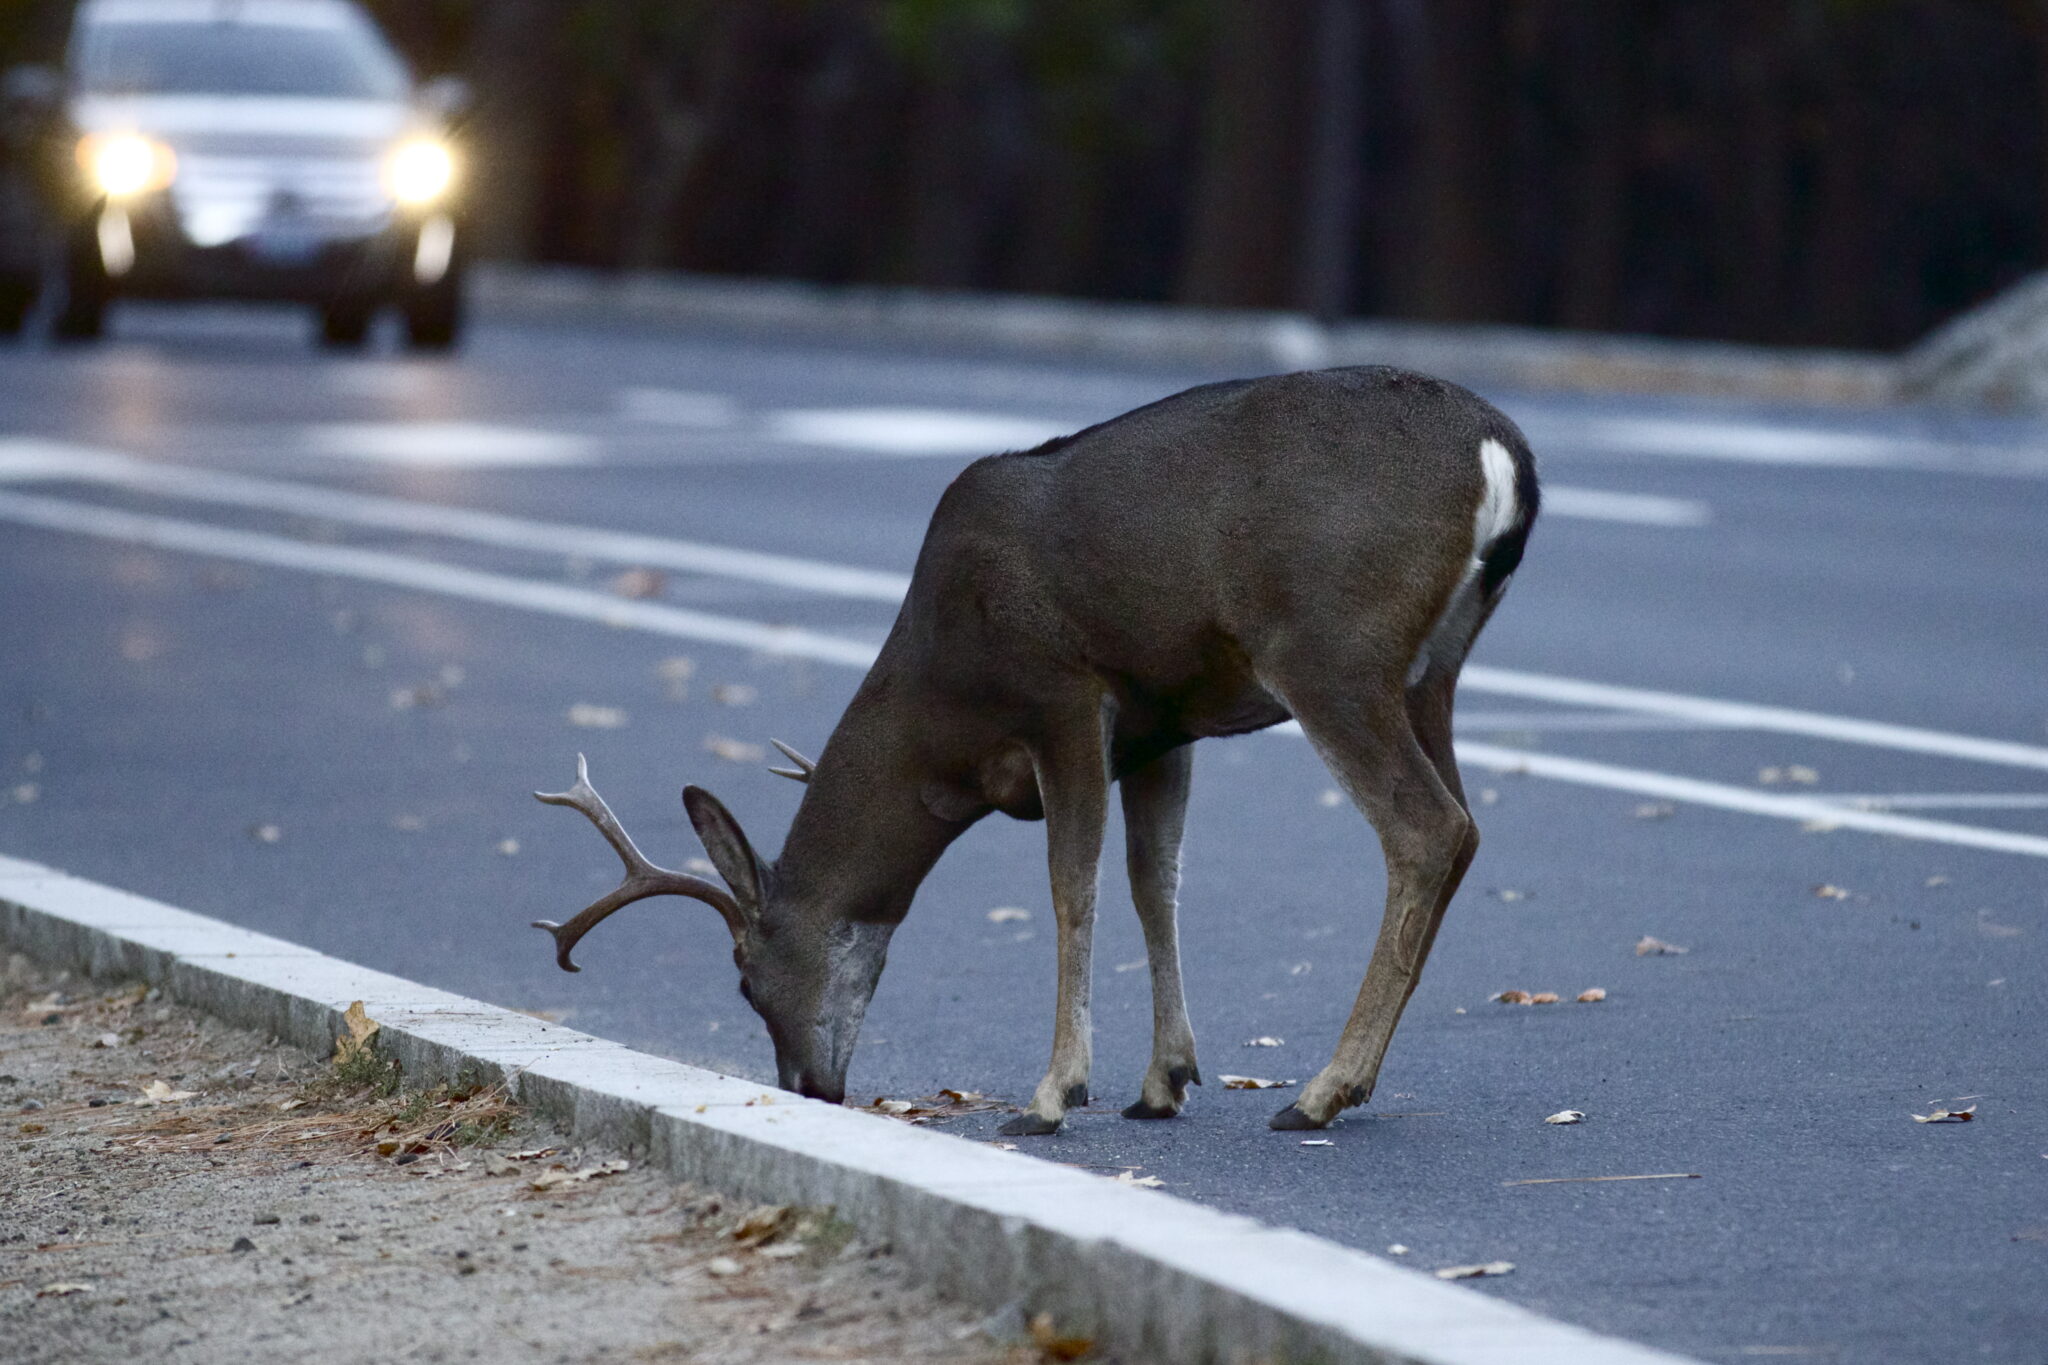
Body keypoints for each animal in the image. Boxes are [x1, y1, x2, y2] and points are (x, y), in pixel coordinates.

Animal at [532, 365, 1538, 1135]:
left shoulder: (1064, 690)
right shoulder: (1164, 723)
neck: (945, 715)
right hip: (1431, 669)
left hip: (1328, 647)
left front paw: (1053, 1093)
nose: (809, 1086)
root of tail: (1505, 459)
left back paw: (1321, 1092)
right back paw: (1346, 1080)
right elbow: (1153, 880)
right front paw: (1162, 1083)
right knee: (1465, 826)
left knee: (1426, 828)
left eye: (744, 980)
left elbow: (1071, 883)